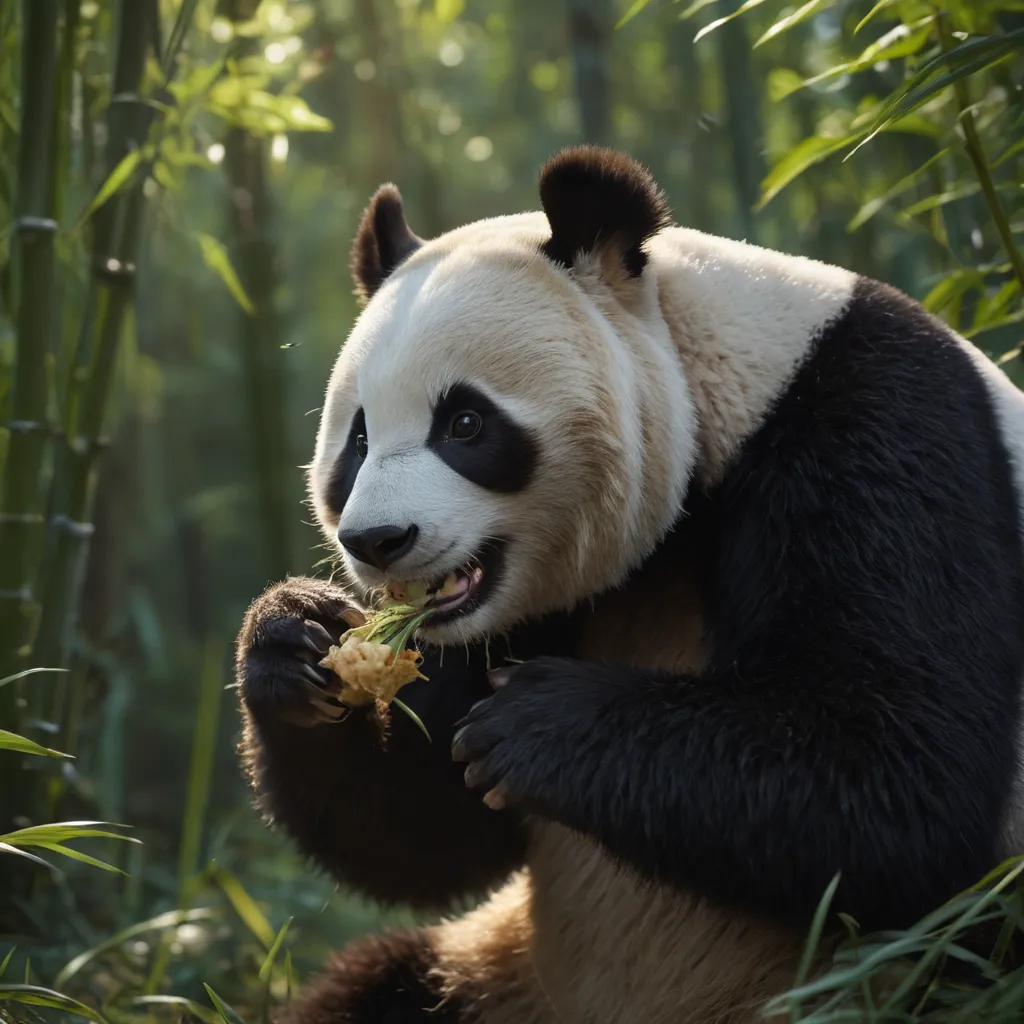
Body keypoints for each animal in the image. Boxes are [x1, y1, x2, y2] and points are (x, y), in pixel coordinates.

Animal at [235, 146, 1024, 1024]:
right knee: (373, 985)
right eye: (358, 440)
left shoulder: (876, 431)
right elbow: (425, 832)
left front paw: (533, 723)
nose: (376, 540)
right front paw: (296, 644)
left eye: (465, 424)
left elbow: (897, 771)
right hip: (494, 975)